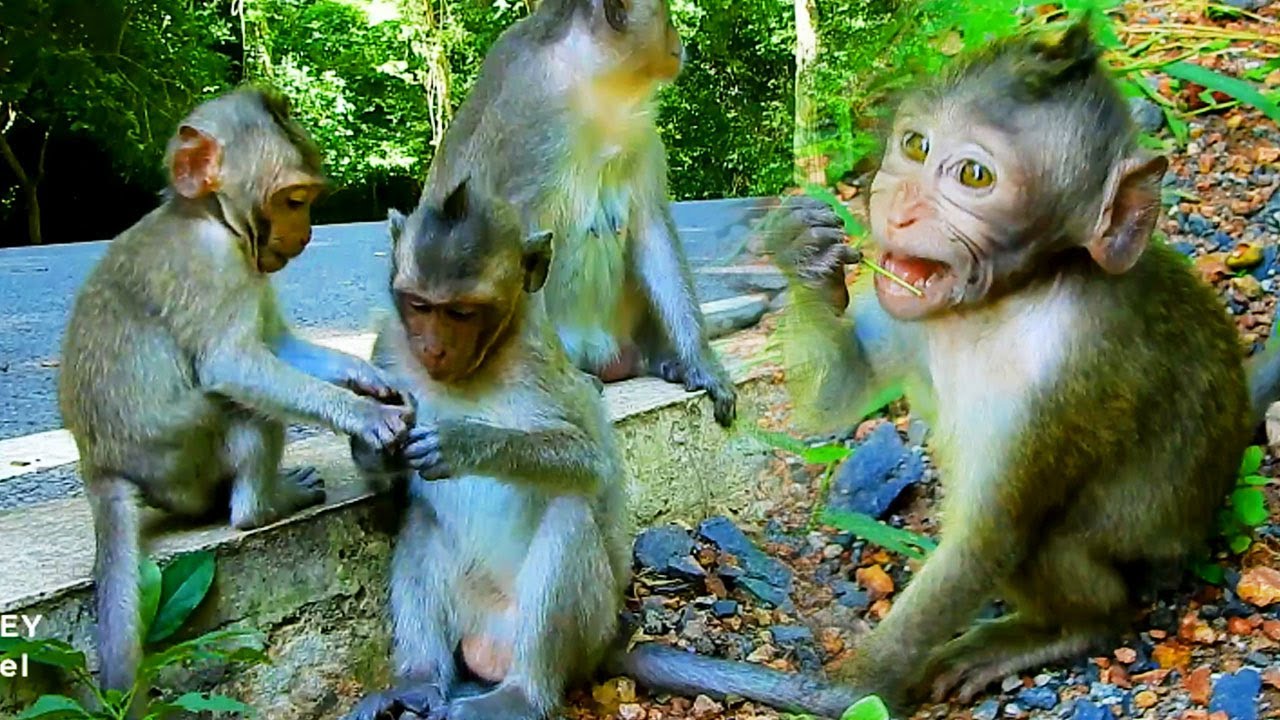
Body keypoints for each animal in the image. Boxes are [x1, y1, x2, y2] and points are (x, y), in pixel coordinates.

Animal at [57, 87, 414, 698]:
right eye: (293, 199)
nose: (306, 233)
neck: (209, 217)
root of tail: (100, 467)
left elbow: (276, 345)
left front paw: (368, 377)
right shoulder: (216, 266)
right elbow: (235, 365)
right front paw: (365, 414)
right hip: (184, 458)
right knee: (250, 412)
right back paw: (263, 506)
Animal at [342, 179, 868, 720]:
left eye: (462, 312)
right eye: (417, 304)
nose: (432, 348)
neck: (478, 366)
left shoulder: (540, 365)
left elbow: (590, 461)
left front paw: (463, 442)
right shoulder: (388, 349)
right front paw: (373, 442)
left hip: (585, 625)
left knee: (568, 516)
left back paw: (522, 695)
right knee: (420, 525)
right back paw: (419, 680)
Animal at [417, 0, 737, 428]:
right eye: (665, 12)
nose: (678, 38)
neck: (594, 83)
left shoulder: (640, 132)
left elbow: (652, 230)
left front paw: (700, 361)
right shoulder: (531, 120)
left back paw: (661, 358)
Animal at [761, 20, 1280, 713]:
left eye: (974, 176)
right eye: (916, 145)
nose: (898, 209)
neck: (1013, 296)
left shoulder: (1065, 372)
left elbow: (988, 541)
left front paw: (848, 690)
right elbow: (837, 395)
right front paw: (804, 250)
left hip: (1152, 556)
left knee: (1051, 549)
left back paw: (1063, 629)